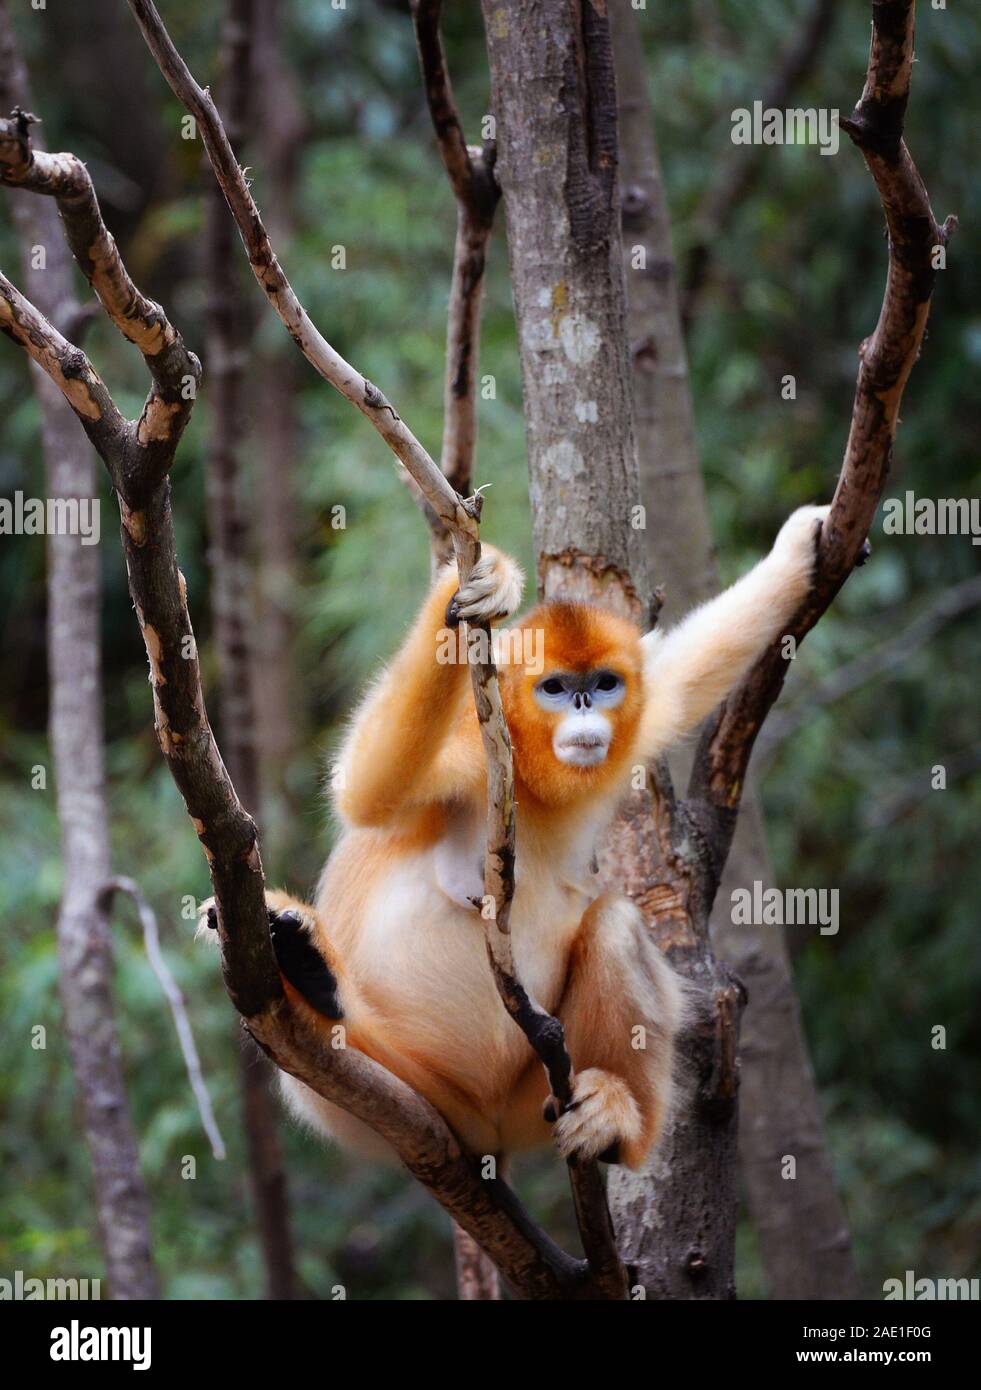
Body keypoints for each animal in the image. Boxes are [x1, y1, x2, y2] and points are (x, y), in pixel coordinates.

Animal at [201, 503, 830, 1170]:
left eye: (604, 683)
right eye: (554, 688)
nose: (583, 706)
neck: (528, 775)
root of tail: (490, 1131)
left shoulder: (640, 714)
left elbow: (685, 674)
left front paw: (796, 548)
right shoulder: (466, 754)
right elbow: (367, 789)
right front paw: (469, 590)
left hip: (540, 1096)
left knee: (614, 925)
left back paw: (617, 1128)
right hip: (392, 1098)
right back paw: (310, 972)